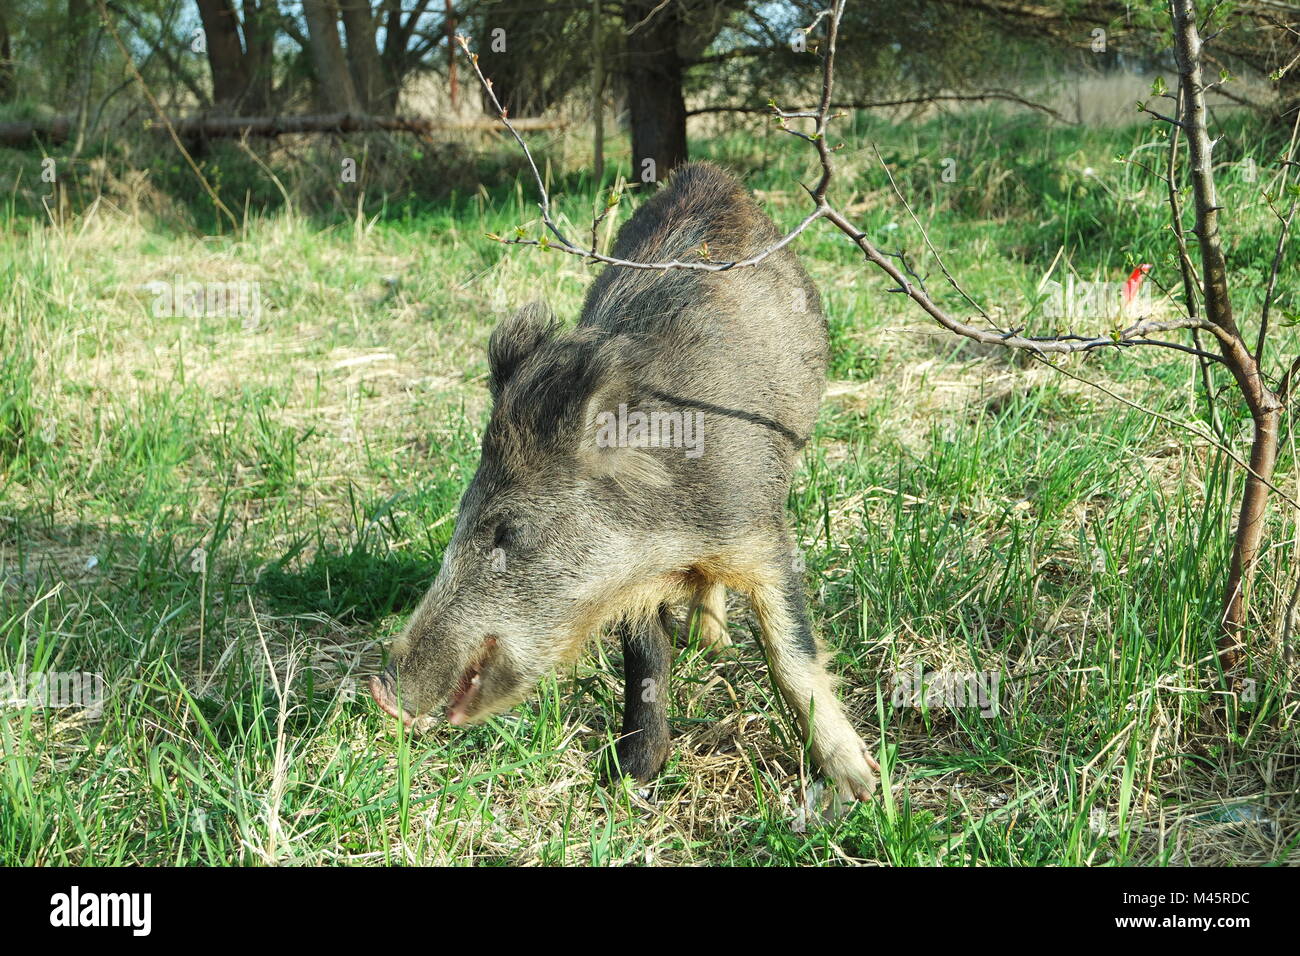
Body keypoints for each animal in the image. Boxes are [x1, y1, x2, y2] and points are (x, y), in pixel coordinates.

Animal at [371, 161, 878, 800]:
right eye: (460, 516)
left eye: (509, 532)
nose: (381, 690)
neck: (669, 531)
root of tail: (709, 174)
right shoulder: (629, 583)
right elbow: (645, 660)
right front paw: (627, 780)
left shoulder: (760, 533)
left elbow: (792, 656)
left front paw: (862, 786)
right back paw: (703, 642)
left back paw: (714, 645)